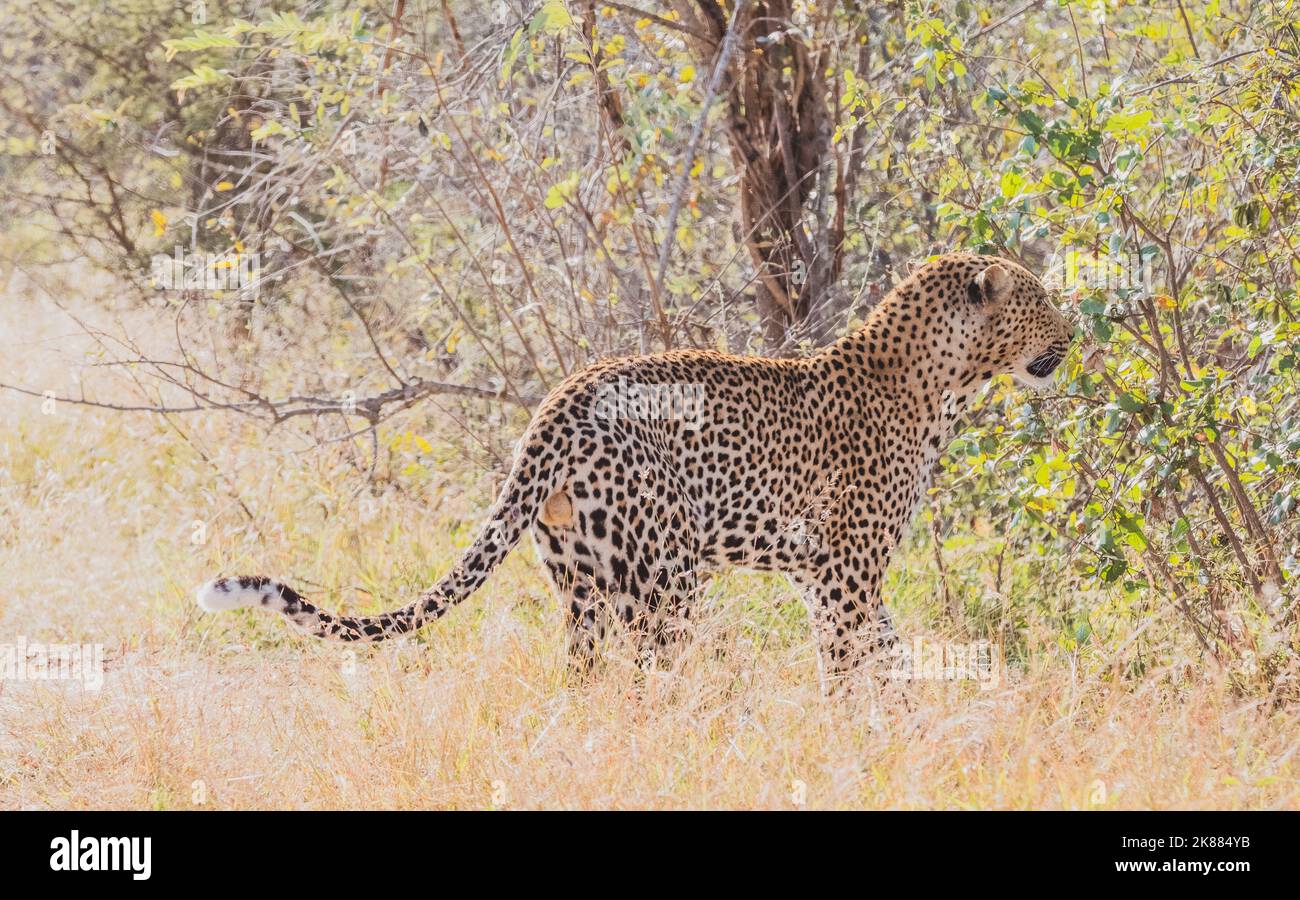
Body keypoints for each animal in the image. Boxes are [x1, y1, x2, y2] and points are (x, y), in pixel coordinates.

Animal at [197, 252, 1073, 689]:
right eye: (1043, 304)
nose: (1076, 335)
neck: (944, 383)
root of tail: (558, 403)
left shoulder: (827, 574)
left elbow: (885, 655)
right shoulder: (846, 572)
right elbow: (853, 664)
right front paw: (863, 737)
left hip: (580, 577)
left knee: (591, 680)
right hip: (664, 578)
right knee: (658, 676)